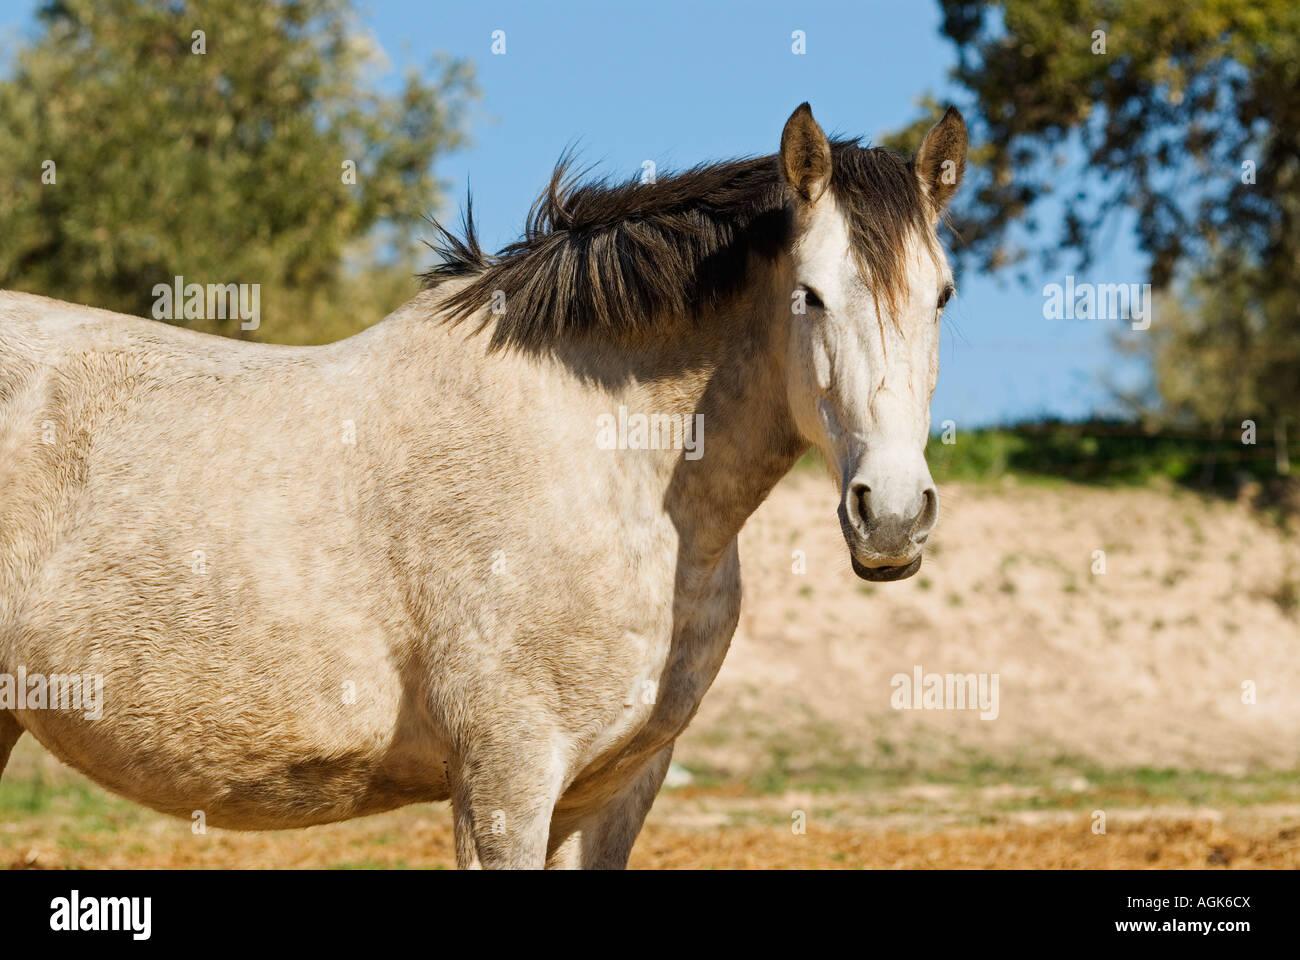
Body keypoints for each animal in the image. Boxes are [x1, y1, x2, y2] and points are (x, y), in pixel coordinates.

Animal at [0, 103, 965, 868]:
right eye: (811, 296)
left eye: (944, 296)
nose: (891, 516)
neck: (604, 471)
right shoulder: (506, 777)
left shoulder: (615, 790)